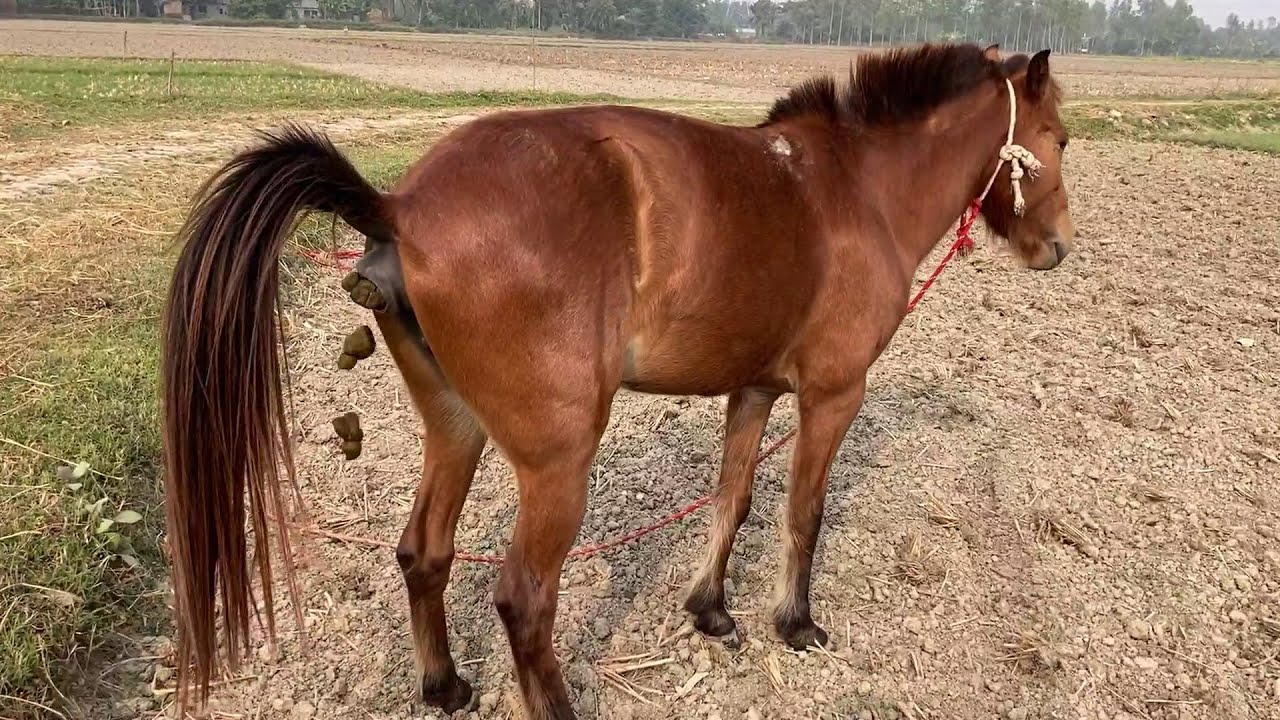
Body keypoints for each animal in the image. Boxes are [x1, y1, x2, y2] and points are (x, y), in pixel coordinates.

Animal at [160, 42, 1073, 720]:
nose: (1058, 247)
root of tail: (401, 207)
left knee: (425, 552)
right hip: (557, 463)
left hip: (453, 428)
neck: (854, 191)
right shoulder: (830, 396)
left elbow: (733, 498)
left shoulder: (754, 390)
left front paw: (711, 610)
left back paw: (446, 686)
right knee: (525, 600)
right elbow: (802, 513)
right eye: (1061, 139)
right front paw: (795, 622)